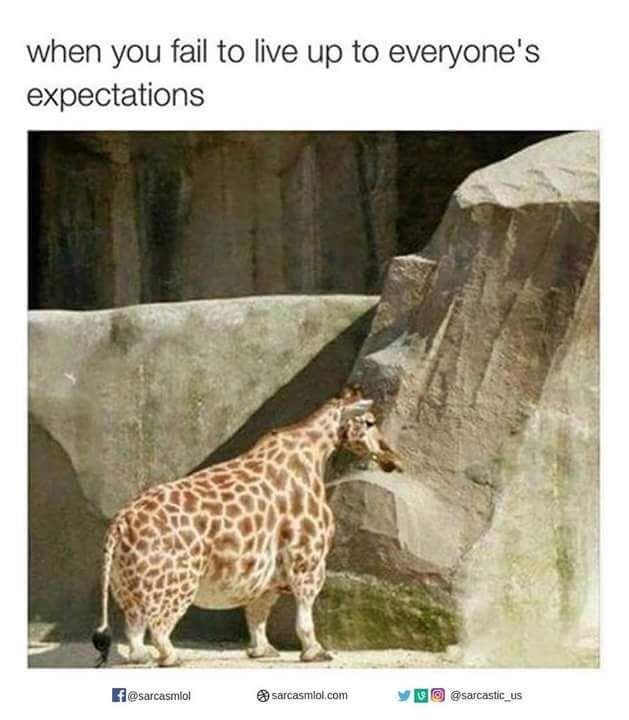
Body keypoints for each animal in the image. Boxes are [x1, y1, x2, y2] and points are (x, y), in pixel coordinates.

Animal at [92, 387, 402, 667]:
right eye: (370, 422)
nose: (395, 459)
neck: (314, 454)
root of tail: (119, 524)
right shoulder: (307, 561)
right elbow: (304, 618)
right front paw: (315, 652)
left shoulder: (267, 575)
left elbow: (257, 615)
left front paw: (261, 651)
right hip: (175, 582)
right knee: (158, 627)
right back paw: (173, 658)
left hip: (127, 587)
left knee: (134, 629)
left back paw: (141, 658)